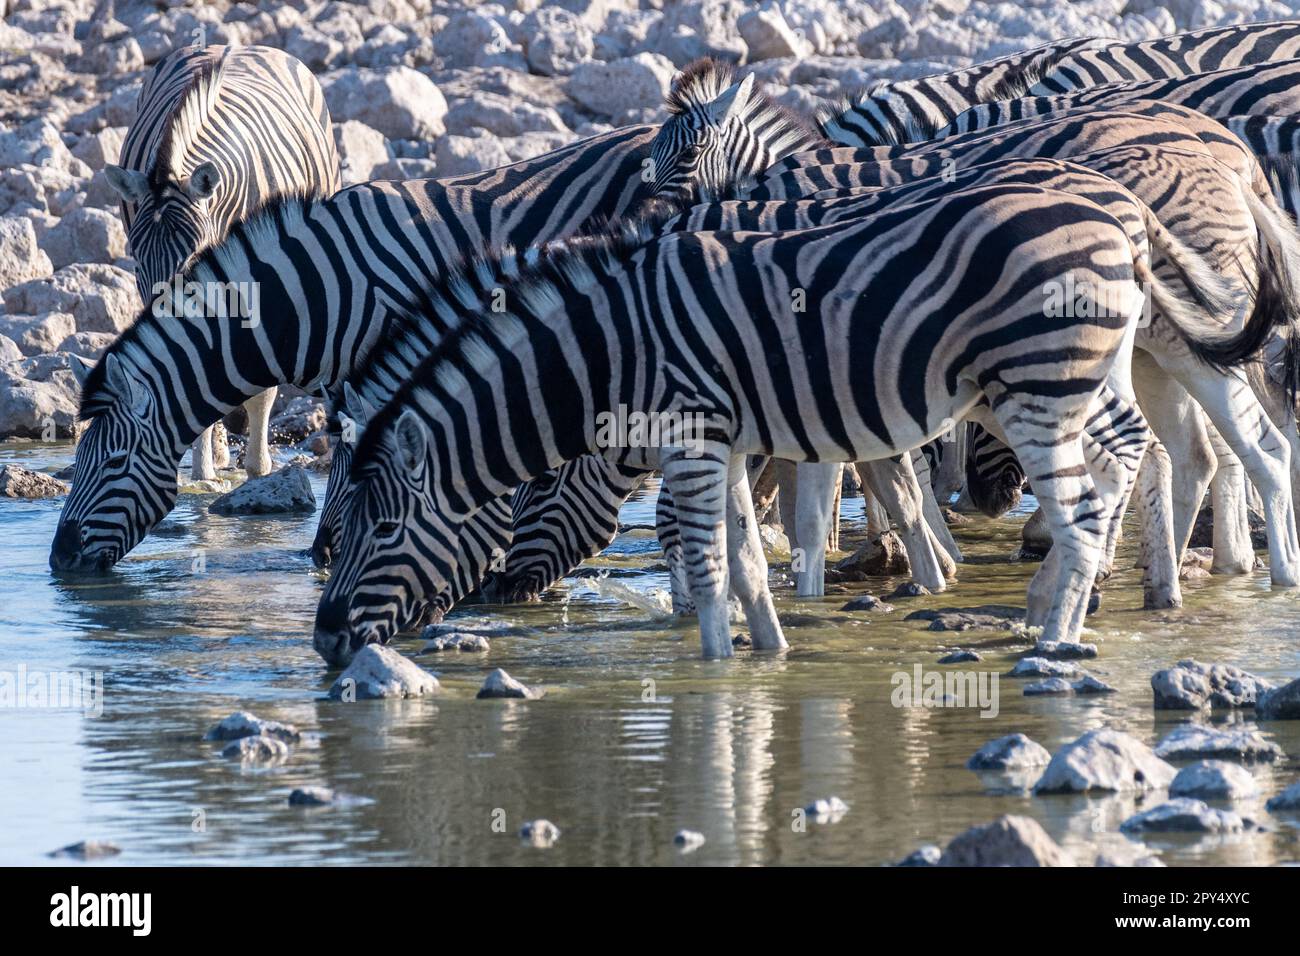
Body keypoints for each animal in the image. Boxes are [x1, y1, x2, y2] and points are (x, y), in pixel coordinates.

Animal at [106, 44, 341, 481]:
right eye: (136, 262)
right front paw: (203, 472)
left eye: (194, 255)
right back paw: (215, 455)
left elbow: (260, 390)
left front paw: (259, 468)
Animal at [314, 178, 1263, 666]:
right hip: (1078, 374)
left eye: (383, 530)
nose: (324, 641)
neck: (606, 353)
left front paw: (715, 672)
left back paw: (1061, 637)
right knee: (1133, 448)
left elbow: (704, 564)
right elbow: (742, 559)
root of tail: (1117, 215)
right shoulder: (727, 444)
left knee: (1090, 501)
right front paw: (766, 656)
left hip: (1039, 380)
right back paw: (1082, 599)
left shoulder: (692, 438)